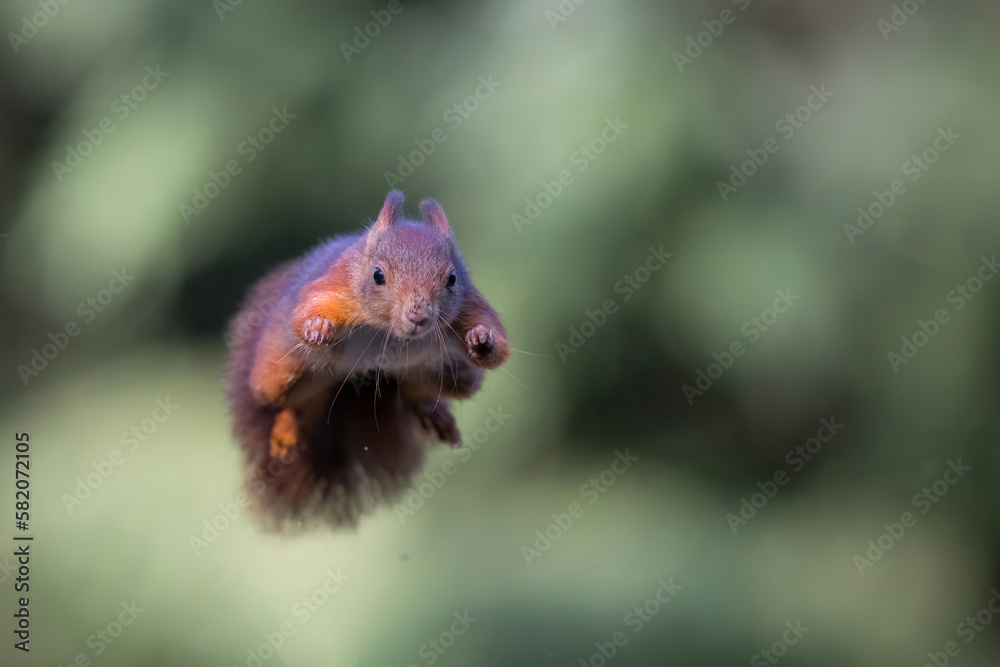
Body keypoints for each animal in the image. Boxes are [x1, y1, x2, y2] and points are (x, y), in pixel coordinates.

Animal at [226, 191, 509, 527]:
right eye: (377, 275)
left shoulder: (468, 304)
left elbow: (496, 341)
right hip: (277, 375)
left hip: (446, 374)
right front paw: (317, 326)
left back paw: (433, 414)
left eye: (452, 278)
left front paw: (482, 340)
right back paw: (285, 430)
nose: (418, 315)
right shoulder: (340, 284)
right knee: (287, 403)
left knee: (415, 394)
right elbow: (314, 306)